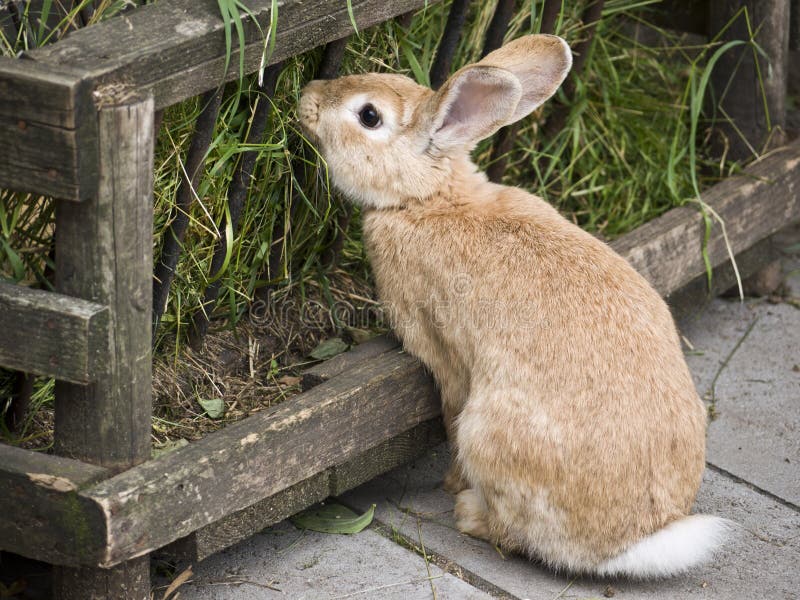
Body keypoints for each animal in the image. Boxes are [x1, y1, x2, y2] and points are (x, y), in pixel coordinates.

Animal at [298, 34, 730, 577]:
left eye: (369, 115)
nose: (308, 96)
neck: (429, 199)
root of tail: (631, 542)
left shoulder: (438, 350)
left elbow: (449, 404)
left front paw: (450, 483)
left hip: (488, 434)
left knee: (512, 530)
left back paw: (468, 512)